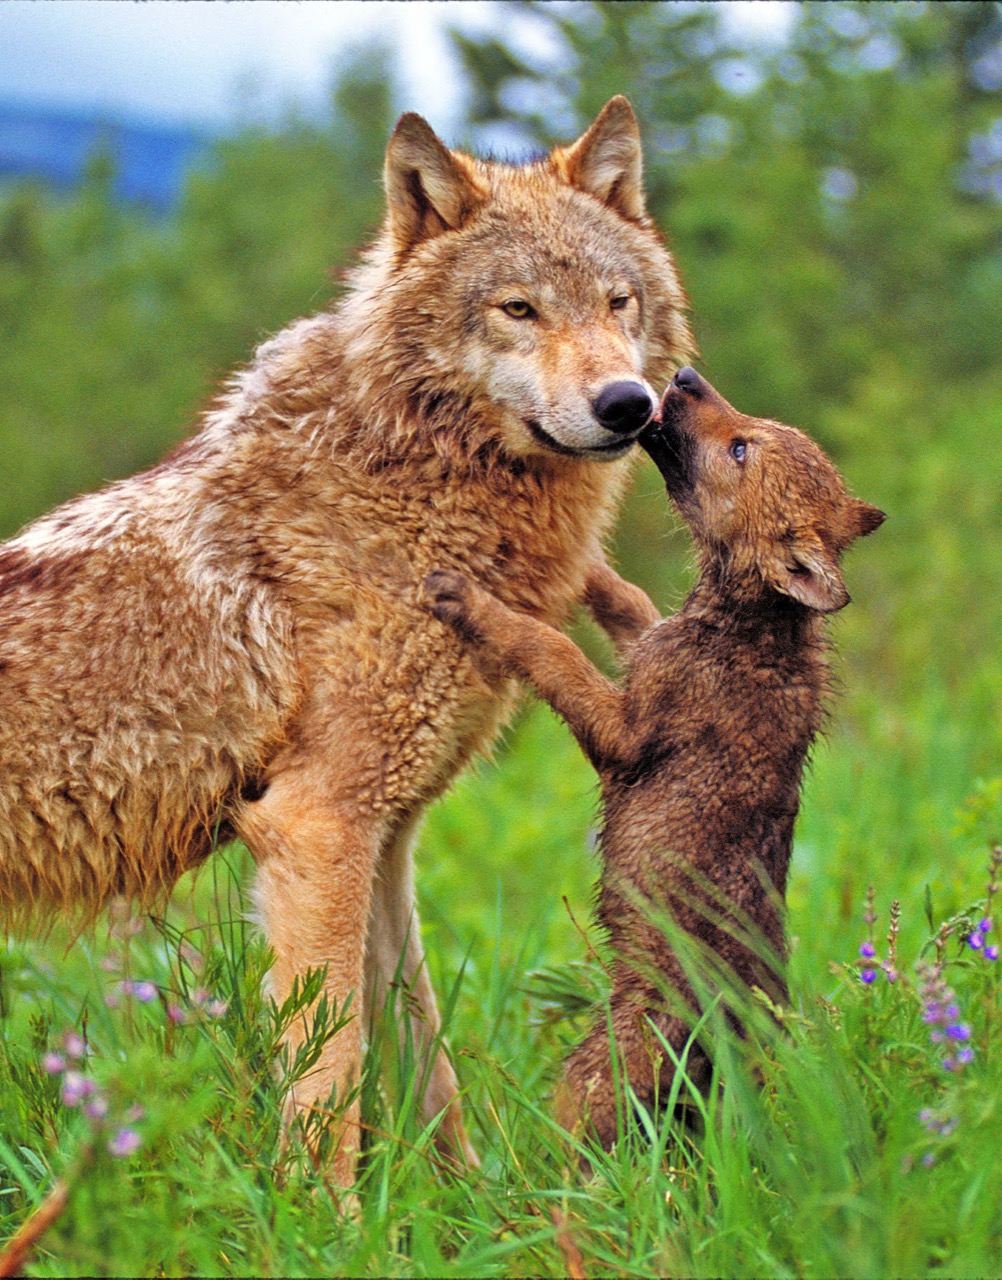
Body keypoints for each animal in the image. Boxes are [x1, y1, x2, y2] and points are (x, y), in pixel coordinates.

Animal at [0, 98, 693, 1180]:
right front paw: (324, 1213)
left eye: (618, 302)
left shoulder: (387, 838)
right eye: (520, 309)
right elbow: (330, 1087)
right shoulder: (316, 826)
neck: (404, 490)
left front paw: (465, 1206)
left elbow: (427, 1065)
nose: (629, 404)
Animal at [427, 366, 884, 1147]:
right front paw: (581, 561)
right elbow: (623, 599)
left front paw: (473, 602)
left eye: (740, 449)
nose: (684, 376)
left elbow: (552, 650)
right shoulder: (644, 644)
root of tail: (732, 1066)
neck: (754, 621)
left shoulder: (624, 733)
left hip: (585, 1078)